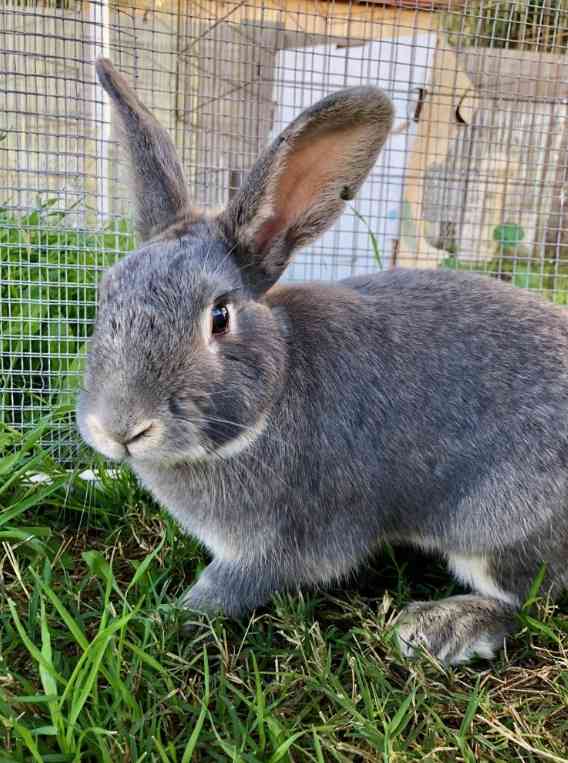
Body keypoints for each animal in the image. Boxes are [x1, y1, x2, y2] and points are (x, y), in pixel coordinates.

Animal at [77, 58, 568, 665]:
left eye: (219, 316)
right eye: (105, 294)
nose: (119, 428)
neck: (272, 396)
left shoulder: (280, 544)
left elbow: (228, 588)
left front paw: (163, 618)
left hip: (494, 525)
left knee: (527, 600)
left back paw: (440, 626)